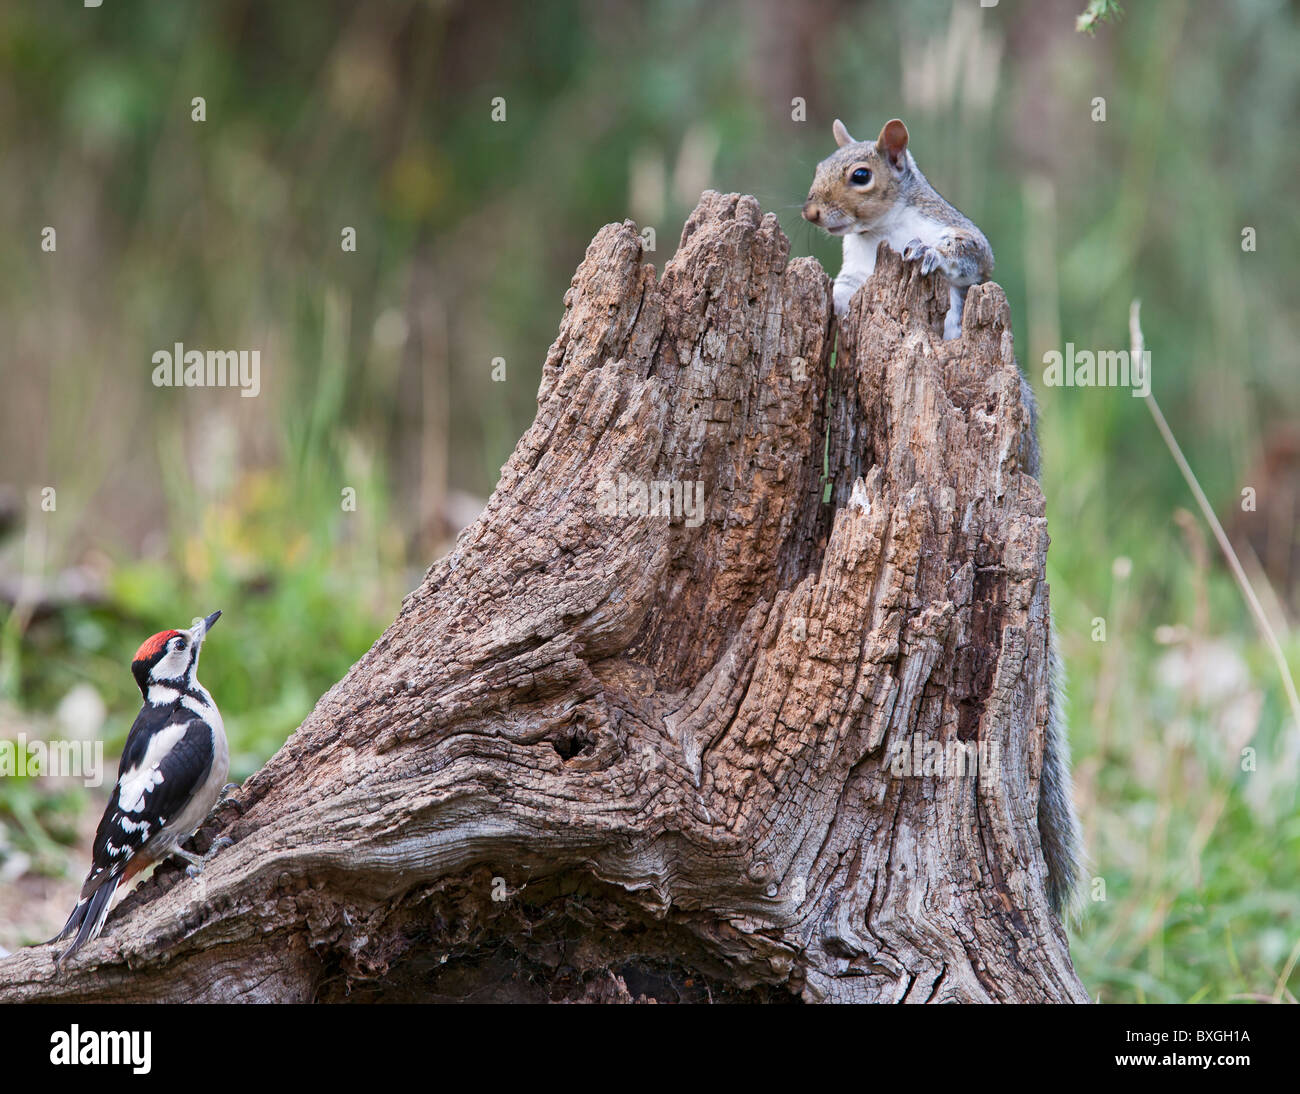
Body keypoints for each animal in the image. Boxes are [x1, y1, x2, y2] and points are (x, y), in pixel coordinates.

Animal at [804, 118, 1083, 918]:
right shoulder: (854, 275)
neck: (878, 234)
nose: (811, 213)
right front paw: (829, 302)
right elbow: (844, 294)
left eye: (861, 174)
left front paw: (927, 255)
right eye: (821, 165)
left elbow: (971, 255)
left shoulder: (963, 235)